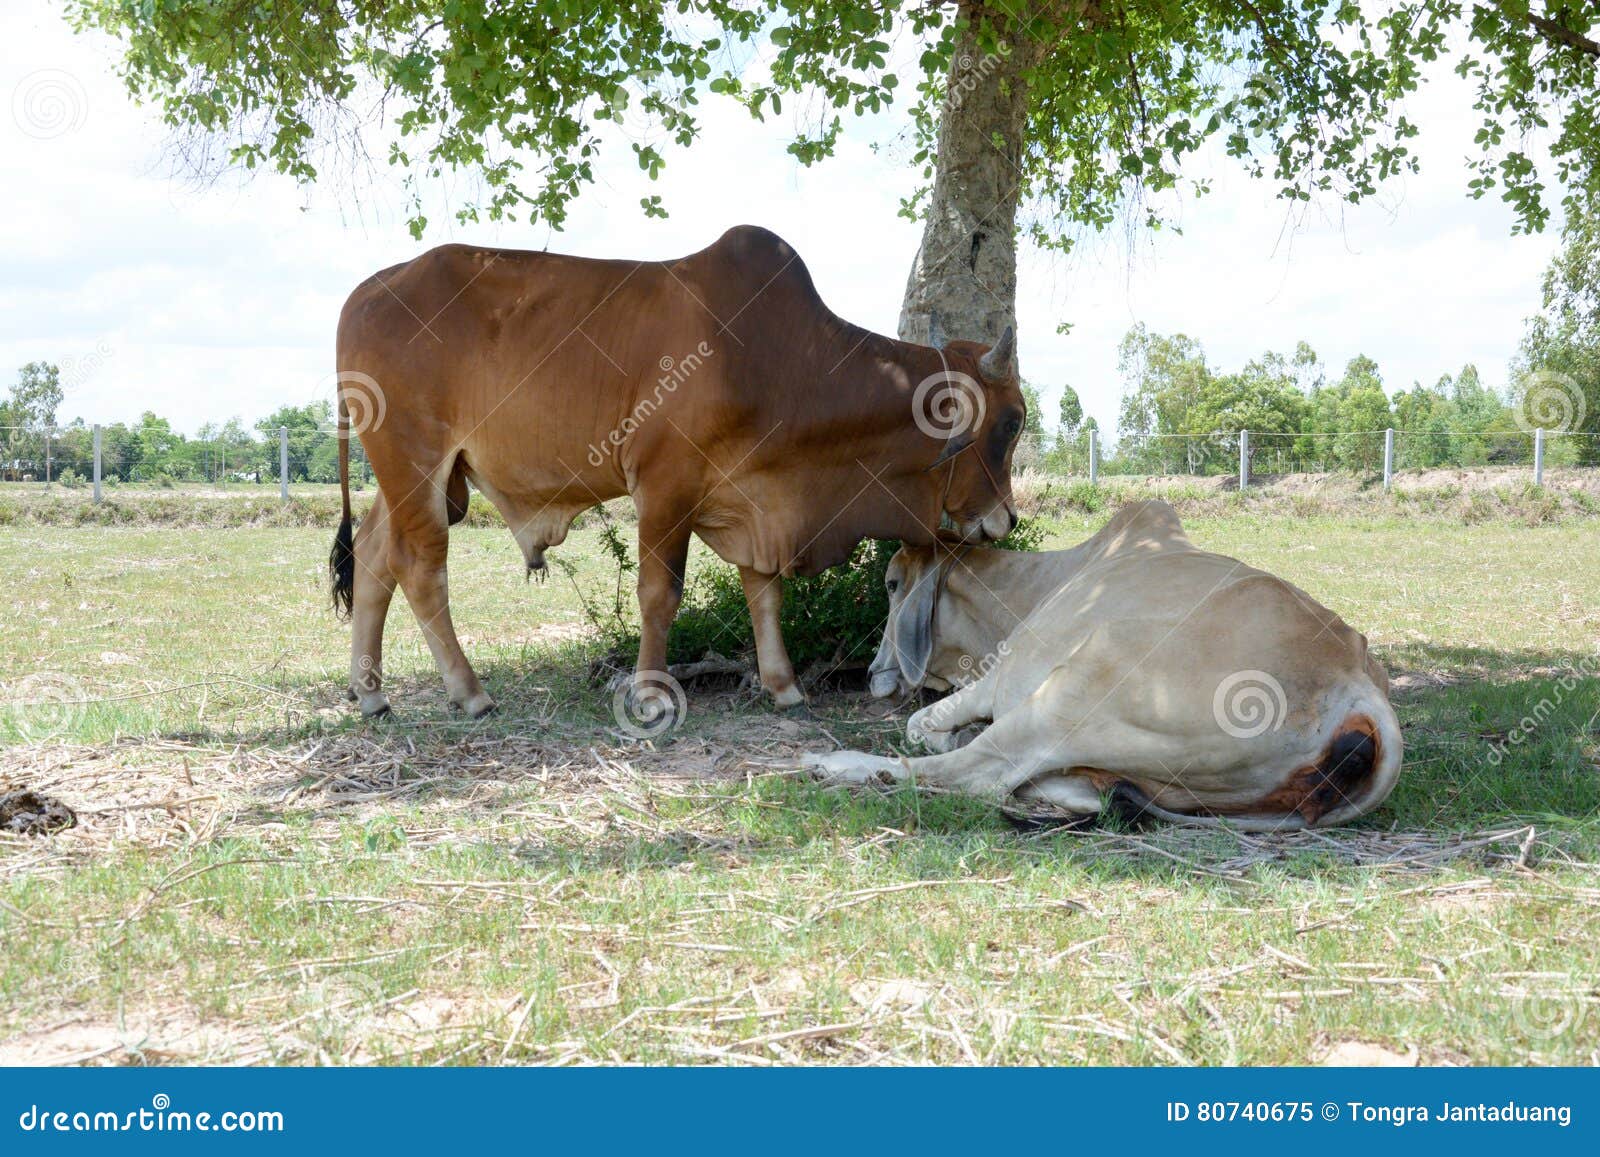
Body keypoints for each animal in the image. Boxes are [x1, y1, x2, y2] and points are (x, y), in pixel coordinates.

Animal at [329, 225, 1025, 721]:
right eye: (1013, 422)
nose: (1008, 519)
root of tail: (367, 289)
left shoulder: (755, 498)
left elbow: (764, 592)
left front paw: (783, 685)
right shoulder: (665, 488)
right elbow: (659, 595)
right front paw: (651, 694)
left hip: (418, 480)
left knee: (373, 557)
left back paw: (371, 694)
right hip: (414, 464)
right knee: (419, 568)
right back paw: (469, 692)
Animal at [807, 501, 1403, 831]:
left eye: (891, 584)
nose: (873, 674)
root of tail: (1355, 682)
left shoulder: (995, 678)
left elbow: (920, 725)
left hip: (1085, 678)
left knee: (980, 774)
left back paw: (836, 763)